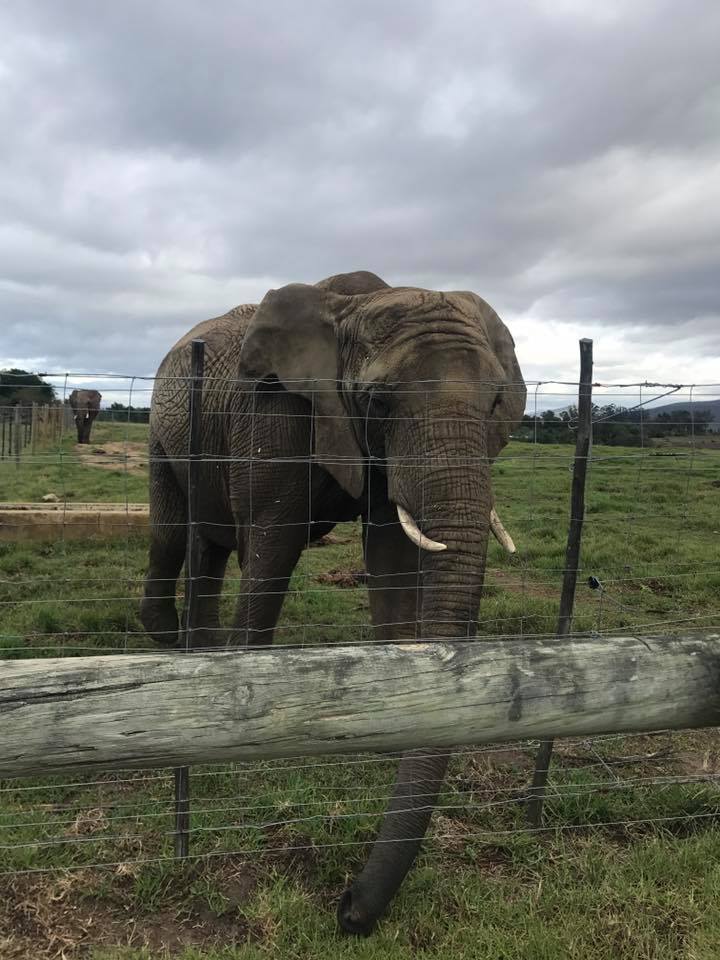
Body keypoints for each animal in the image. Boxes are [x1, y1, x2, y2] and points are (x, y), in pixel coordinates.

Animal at [140, 270, 526, 935]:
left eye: (496, 404)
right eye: (380, 402)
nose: (349, 912)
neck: (355, 308)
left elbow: (392, 549)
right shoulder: (274, 410)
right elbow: (273, 543)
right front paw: (245, 712)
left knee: (210, 543)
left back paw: (204, 648)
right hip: (165, 432)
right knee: (175, 532)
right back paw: (170, 640)